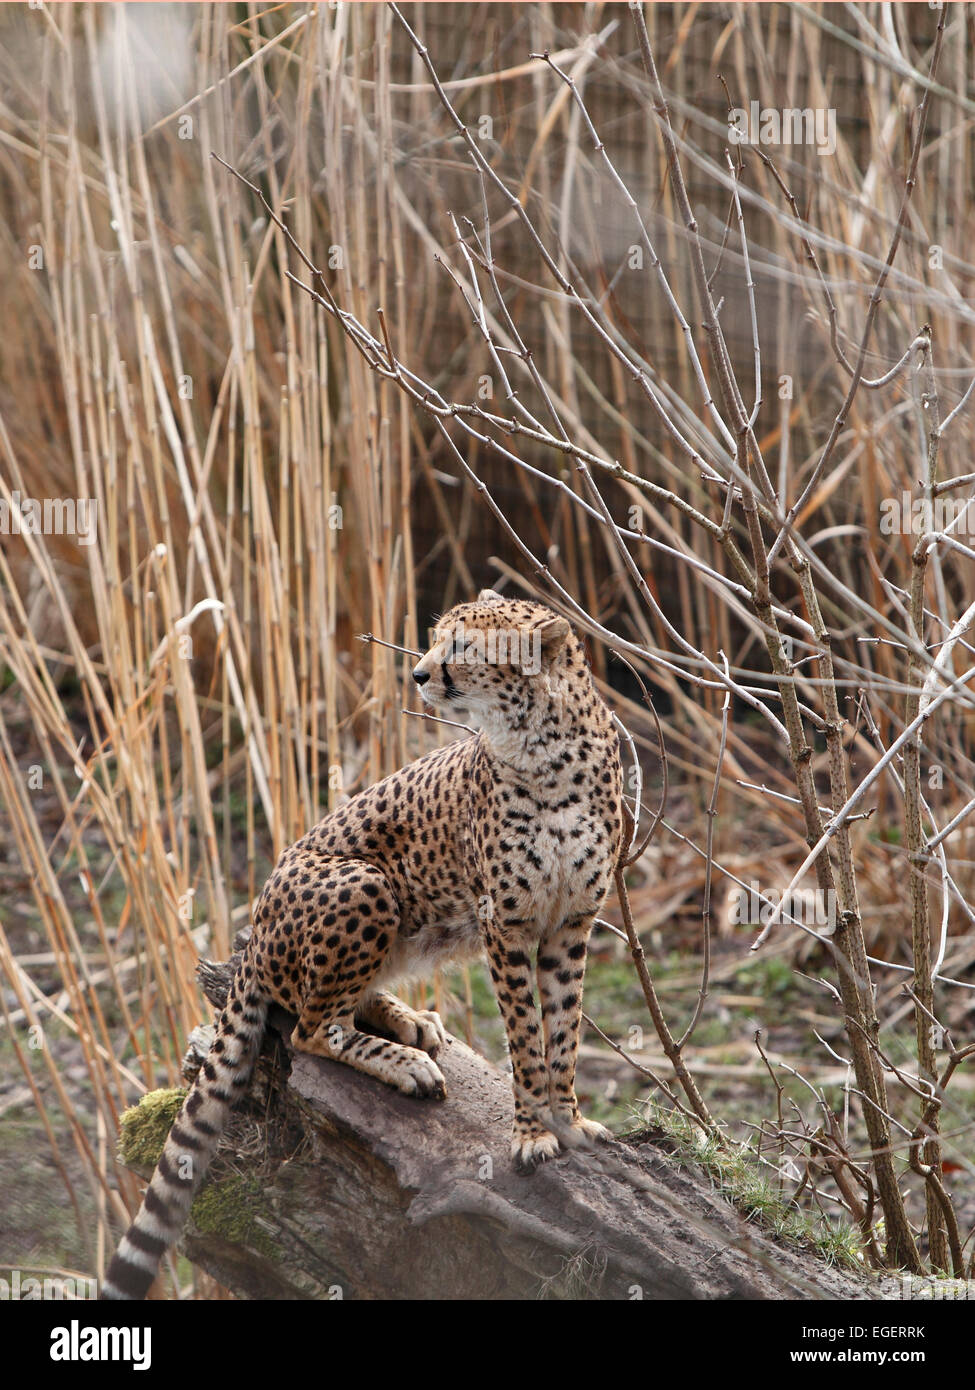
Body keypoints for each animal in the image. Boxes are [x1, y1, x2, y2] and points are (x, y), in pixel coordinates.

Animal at [100, 588, 625, 1299]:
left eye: (465, 647)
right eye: (436, 637)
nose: (420, 674)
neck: (543, 747)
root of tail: (257, 921)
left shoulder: (571, 921)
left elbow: (564, 1033)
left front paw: (567, 1121)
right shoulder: (507, 923)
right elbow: (525, 1039)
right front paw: (531, 1134)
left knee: (333, 1008)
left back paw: (408, 1022)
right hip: (367, 884)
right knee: (310, 1030)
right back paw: (405, 1062)